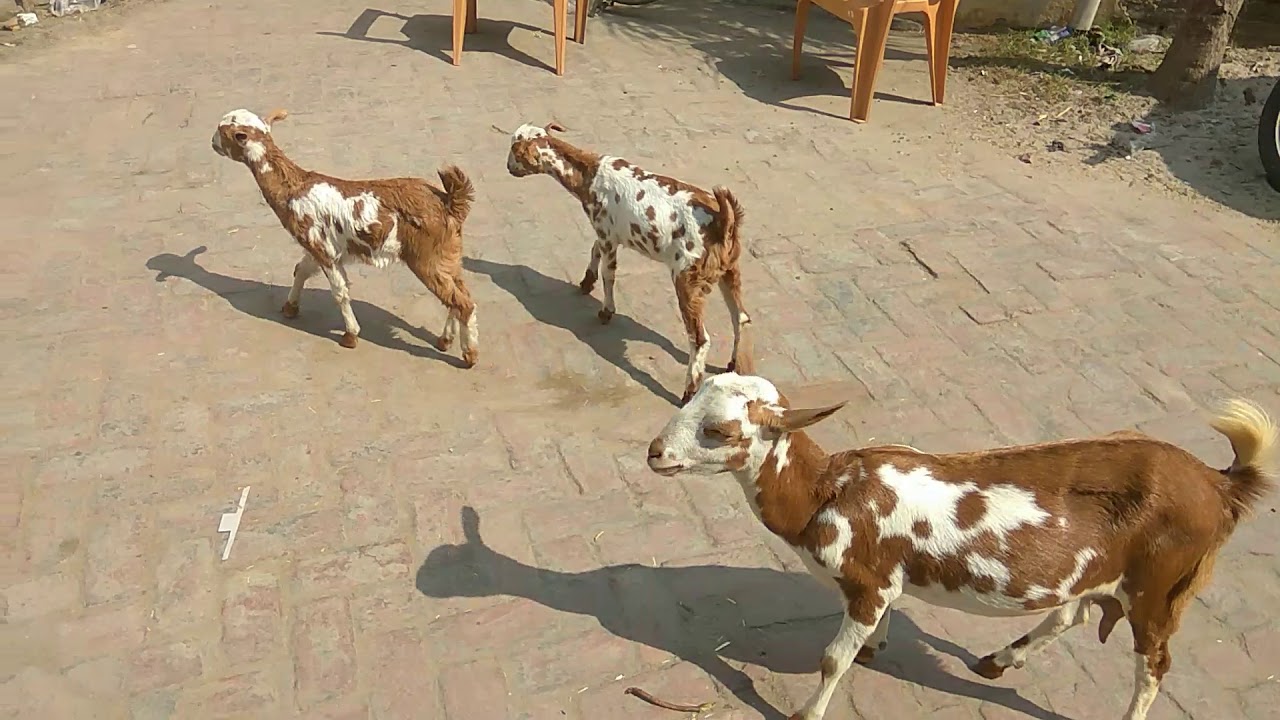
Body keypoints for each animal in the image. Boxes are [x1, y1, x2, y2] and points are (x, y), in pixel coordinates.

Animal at [211, 108, 480, 366]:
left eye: (223, 131)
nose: (212, 142)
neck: (294, 189)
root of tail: (449, 202)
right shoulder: (314, 246)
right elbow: (301, 270)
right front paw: (290, 307)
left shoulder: (322, 248)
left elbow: (339, 291)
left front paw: (350, 335)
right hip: (448, 255)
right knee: (458, 293)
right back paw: (445, 339)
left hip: (427, 258)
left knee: (462, 302)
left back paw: (469, 355)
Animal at [505, 122, 752, 404]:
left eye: (515, 150)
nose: (508, 167)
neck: (589, 173)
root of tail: (724, 220)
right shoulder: (607, 233)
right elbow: (594, 251)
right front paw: (586, 282)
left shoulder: (607, 233)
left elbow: (608, 273)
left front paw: (606, 310)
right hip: (730, 270)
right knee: (740, 318)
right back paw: (734, 365)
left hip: (687, 278)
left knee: (700, 339)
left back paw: (689, 392)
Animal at [647, 372, 1277, 720]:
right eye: (688, 397)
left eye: (720, 431)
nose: (654, 453)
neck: (829, 491)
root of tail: (1220, 484)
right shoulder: (885, 585)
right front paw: (874, 649)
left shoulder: (869, 583)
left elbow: (830, 659)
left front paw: (806, 711)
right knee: (1071, 611)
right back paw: (997, 660)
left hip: (1161, 584)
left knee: (1155, 661)